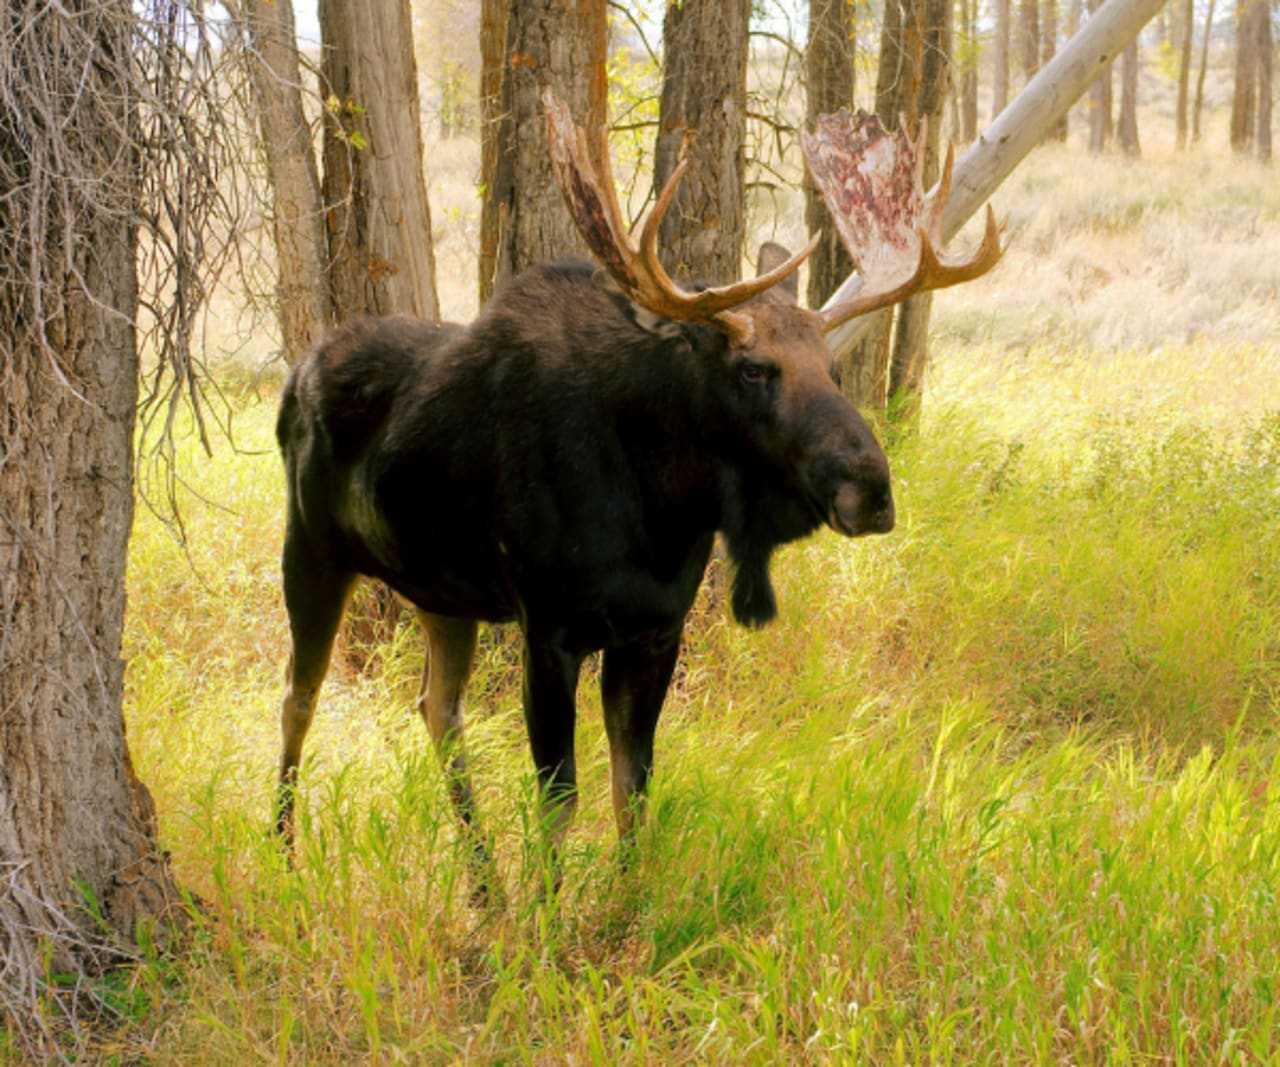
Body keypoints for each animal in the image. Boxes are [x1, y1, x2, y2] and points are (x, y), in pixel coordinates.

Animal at [272, 93, 1002, 896]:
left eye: (831, 365)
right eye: (753, 367)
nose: (870, 488)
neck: (660, 510)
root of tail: (294, 375)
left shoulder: (655, 629)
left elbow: (635, 785)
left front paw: (627, 898)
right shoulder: (549, 626)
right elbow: (560, 793)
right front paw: (550, 913)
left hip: (441, 593)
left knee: (437, 708)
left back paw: (484, 882)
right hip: (310, 550)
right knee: (297, 700)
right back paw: (284, 854)